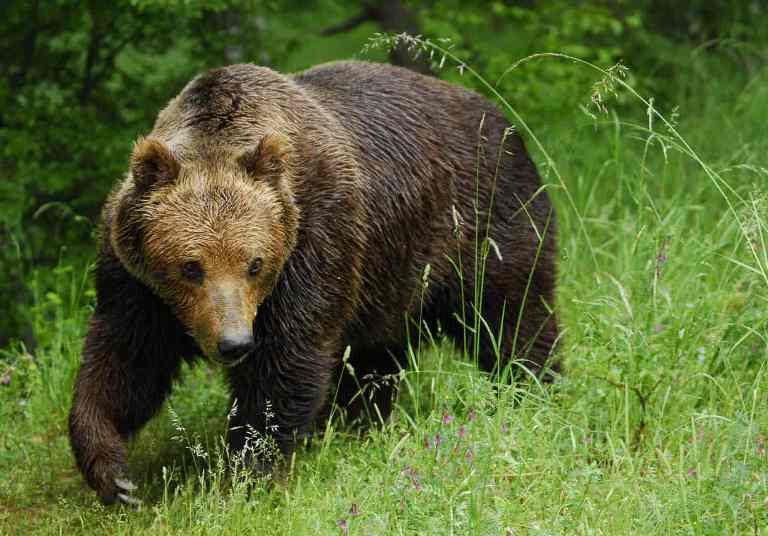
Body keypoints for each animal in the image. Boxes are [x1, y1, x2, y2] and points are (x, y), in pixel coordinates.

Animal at [68, 60, 559, 505]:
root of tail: (503, 118)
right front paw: (114, 473)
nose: (234, 343)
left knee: (510, 315)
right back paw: (362, 422)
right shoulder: (137, 282)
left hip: (480, 223)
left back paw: (530, 387)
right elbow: (128, 361)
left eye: (254, 264)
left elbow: (287, 359)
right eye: (191, 266)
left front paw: (249, 472)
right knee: (375, 357)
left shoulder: (314, 241)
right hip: (388, 278)